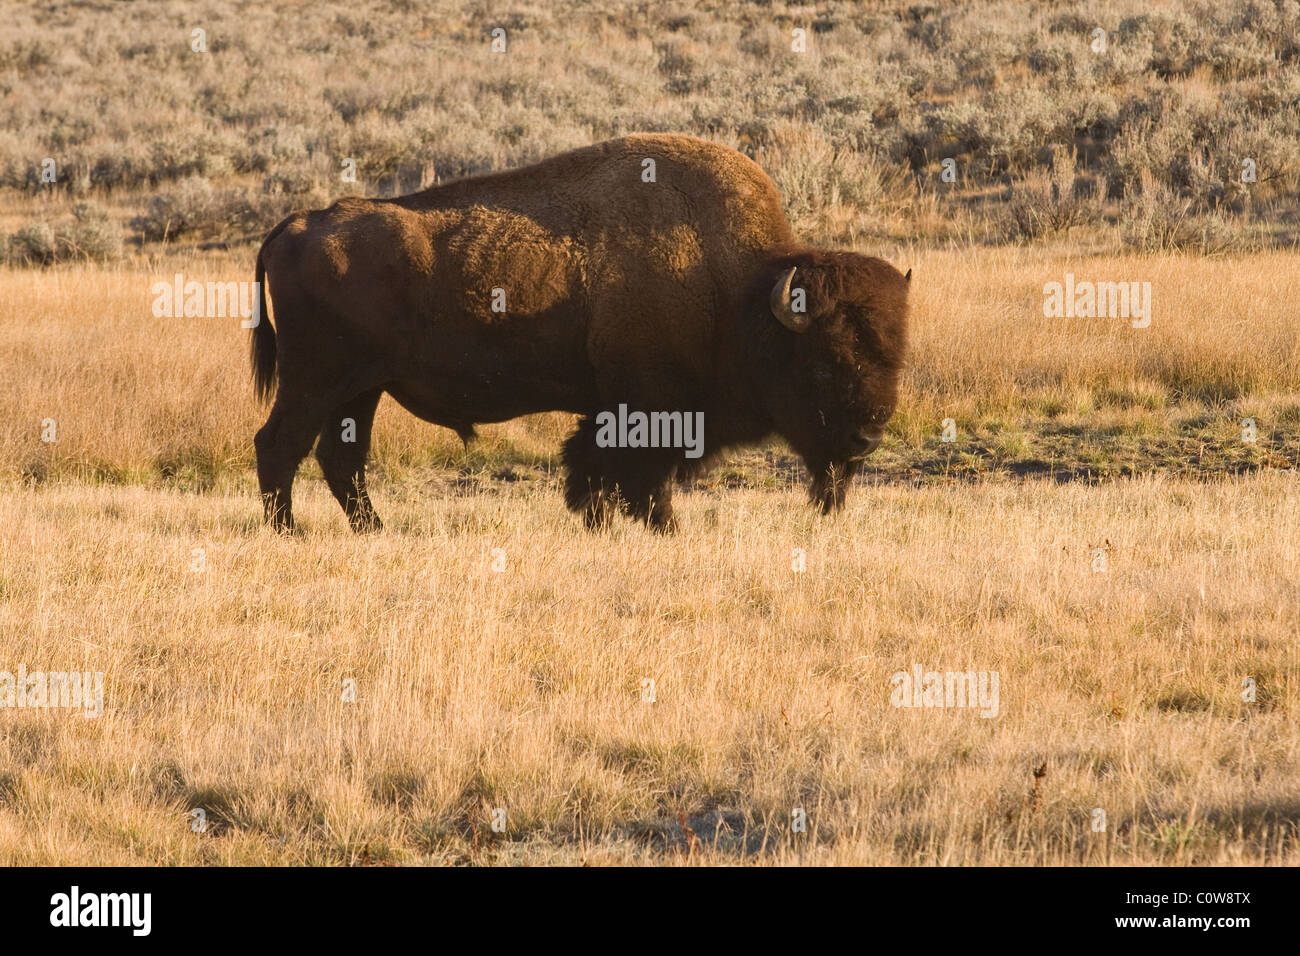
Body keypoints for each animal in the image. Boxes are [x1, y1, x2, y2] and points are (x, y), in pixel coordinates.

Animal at [250, 133, 909, 532]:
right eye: (825, 361)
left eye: (894, 357)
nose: (867, 438)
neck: (740, 291)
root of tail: (297, 223)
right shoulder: (650, 410)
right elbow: (640, 478)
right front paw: (663, 528)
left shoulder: (613, 412)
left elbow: (595, 469)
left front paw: (599, 521)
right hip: (316, 380)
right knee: (280, 444)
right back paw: (291, 532)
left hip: (362, 389)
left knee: (342, 458)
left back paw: (374, 531)